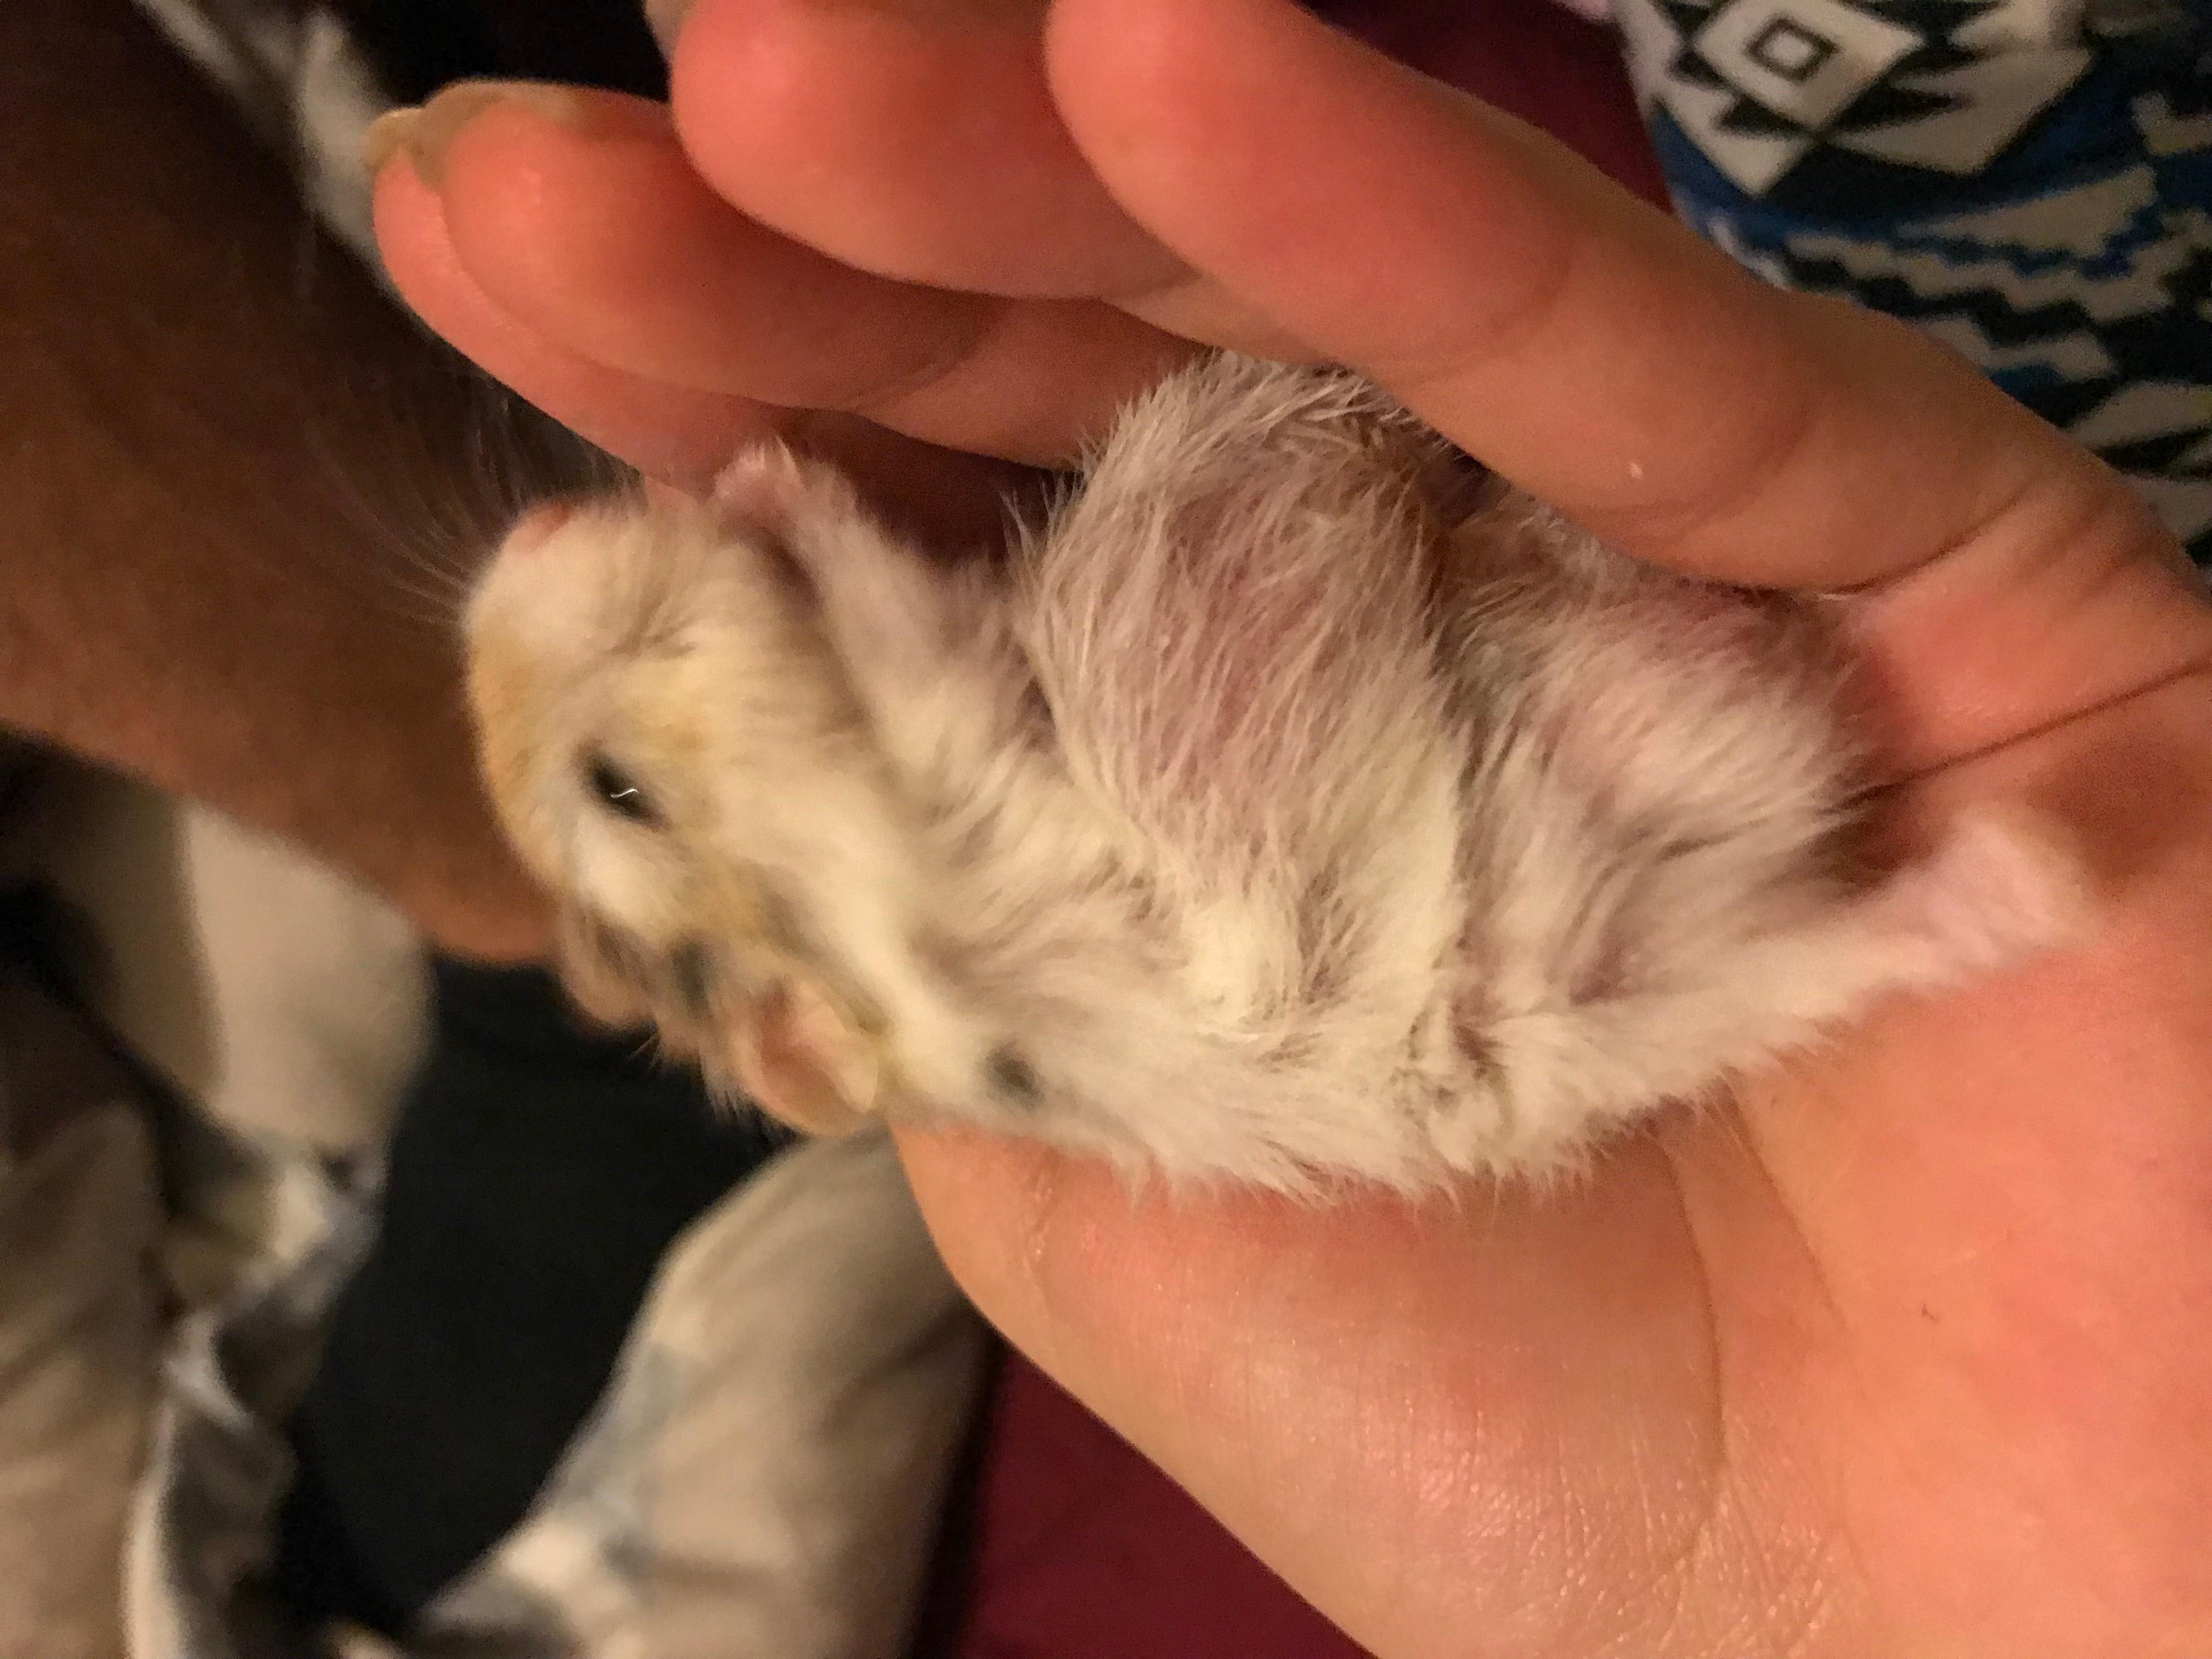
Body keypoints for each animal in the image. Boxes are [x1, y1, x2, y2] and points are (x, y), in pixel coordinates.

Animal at [464, 355, 2080, 1191]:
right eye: (618, 792)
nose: (530, 528)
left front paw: (747, 478)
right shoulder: (971, 739)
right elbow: (888, 609)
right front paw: (773, 485)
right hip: (1641, 1014)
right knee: (1848, 953)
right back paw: (2035, 881)